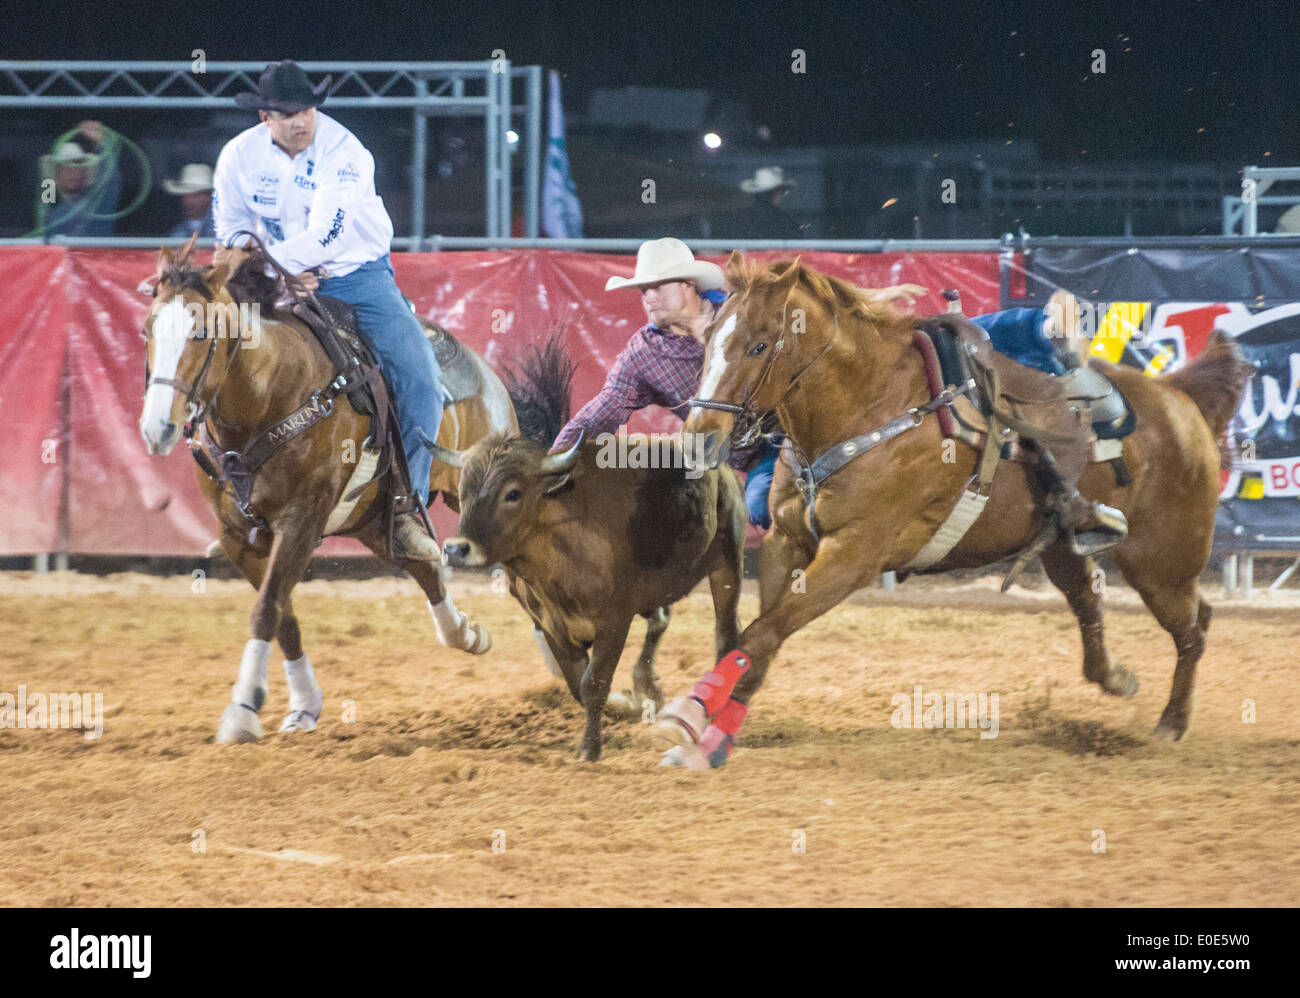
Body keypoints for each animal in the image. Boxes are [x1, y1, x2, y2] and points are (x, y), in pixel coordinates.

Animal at [434, 430, 746, 762]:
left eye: (513, 493)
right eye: (462, 490)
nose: (456, 549)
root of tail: (725, 471)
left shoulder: (615, 620)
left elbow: (594, 684)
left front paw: (590, 748)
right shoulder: (548, 623)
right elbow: (578, 685)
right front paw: (624, 705)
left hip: (727, 563)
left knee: (726, 635)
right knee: (661, 621)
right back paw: (647, 686)